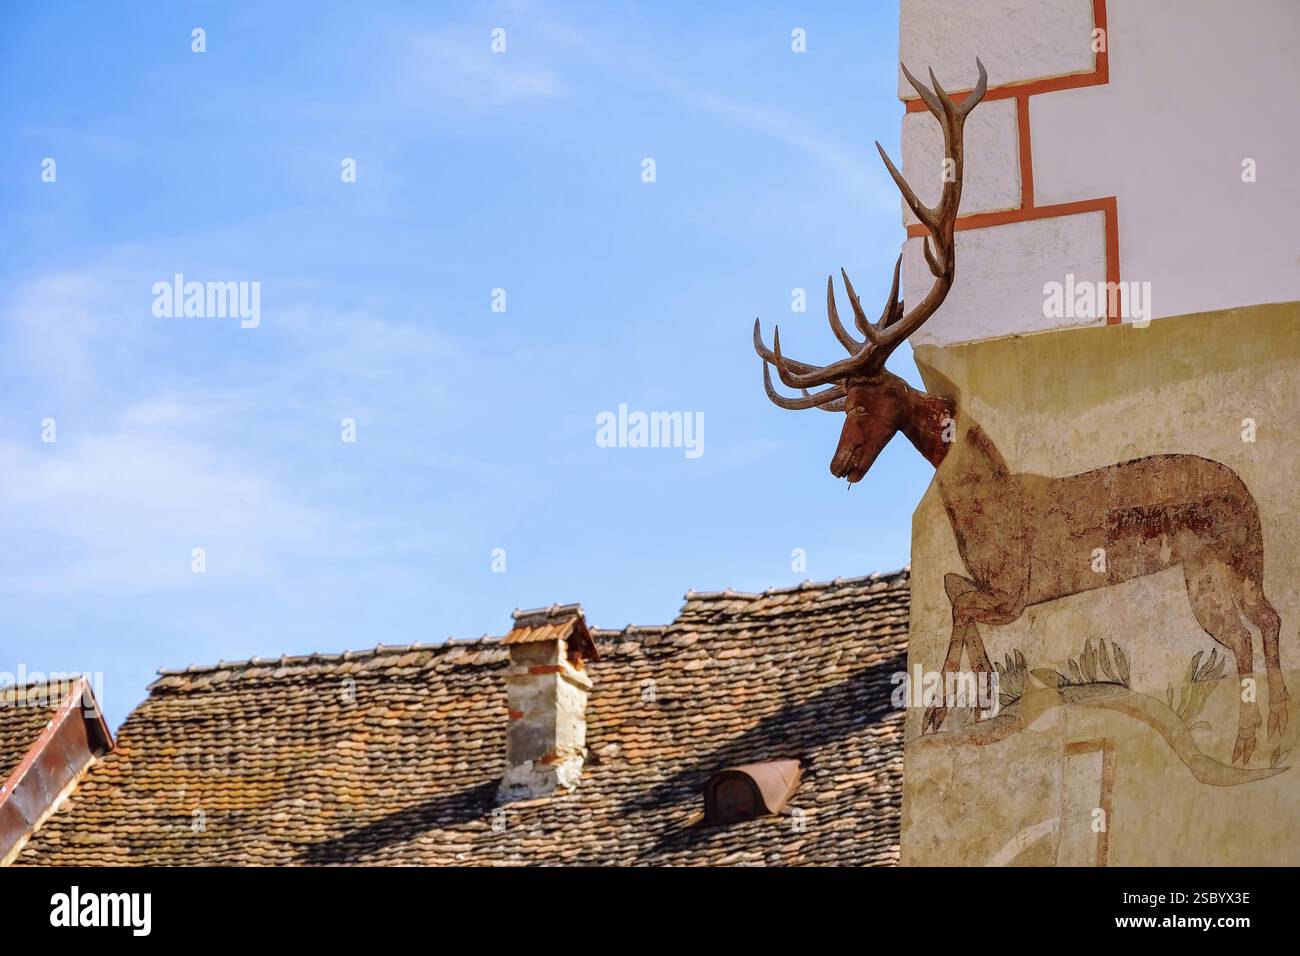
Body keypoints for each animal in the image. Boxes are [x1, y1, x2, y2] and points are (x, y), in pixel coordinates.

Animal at [753, 60, 1288, 765]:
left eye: (866, 401)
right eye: (841, 403)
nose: (840, 463)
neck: (986, 505)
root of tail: (1248, 493)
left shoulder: (1017, 588)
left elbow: (958, 601)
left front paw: (944, 709)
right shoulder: (994, 586)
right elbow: (954, 592)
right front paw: (973, 699)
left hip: (1224, 558)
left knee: (1262, 623)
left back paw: (1268, 740)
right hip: (1209, 571)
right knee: (1249, 632)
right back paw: (1253, 744)